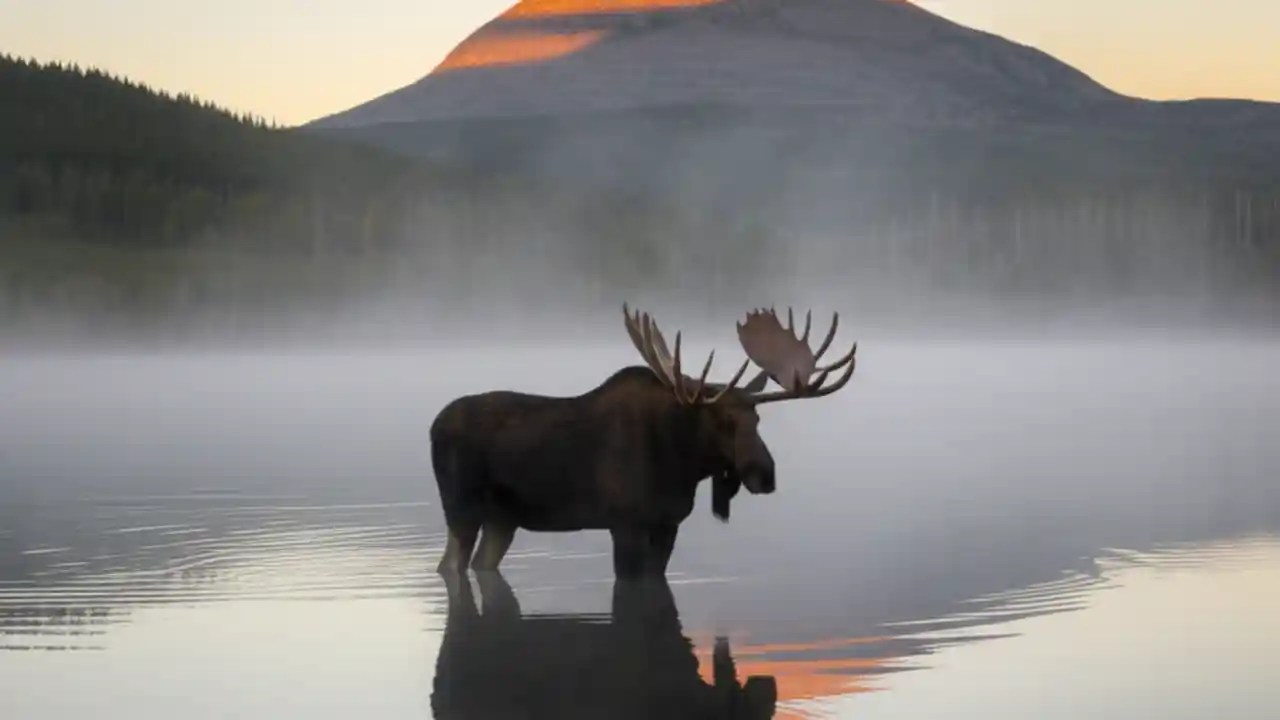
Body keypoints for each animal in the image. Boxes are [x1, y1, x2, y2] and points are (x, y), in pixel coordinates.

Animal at [430, 305, 858, 578]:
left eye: (757, 418)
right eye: (721, 420)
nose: (764, 474)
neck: (681, 466)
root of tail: (434, 425)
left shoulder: (667, 524)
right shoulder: (626, 523)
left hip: (503, 519)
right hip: (461, 508)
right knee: (450, 563)